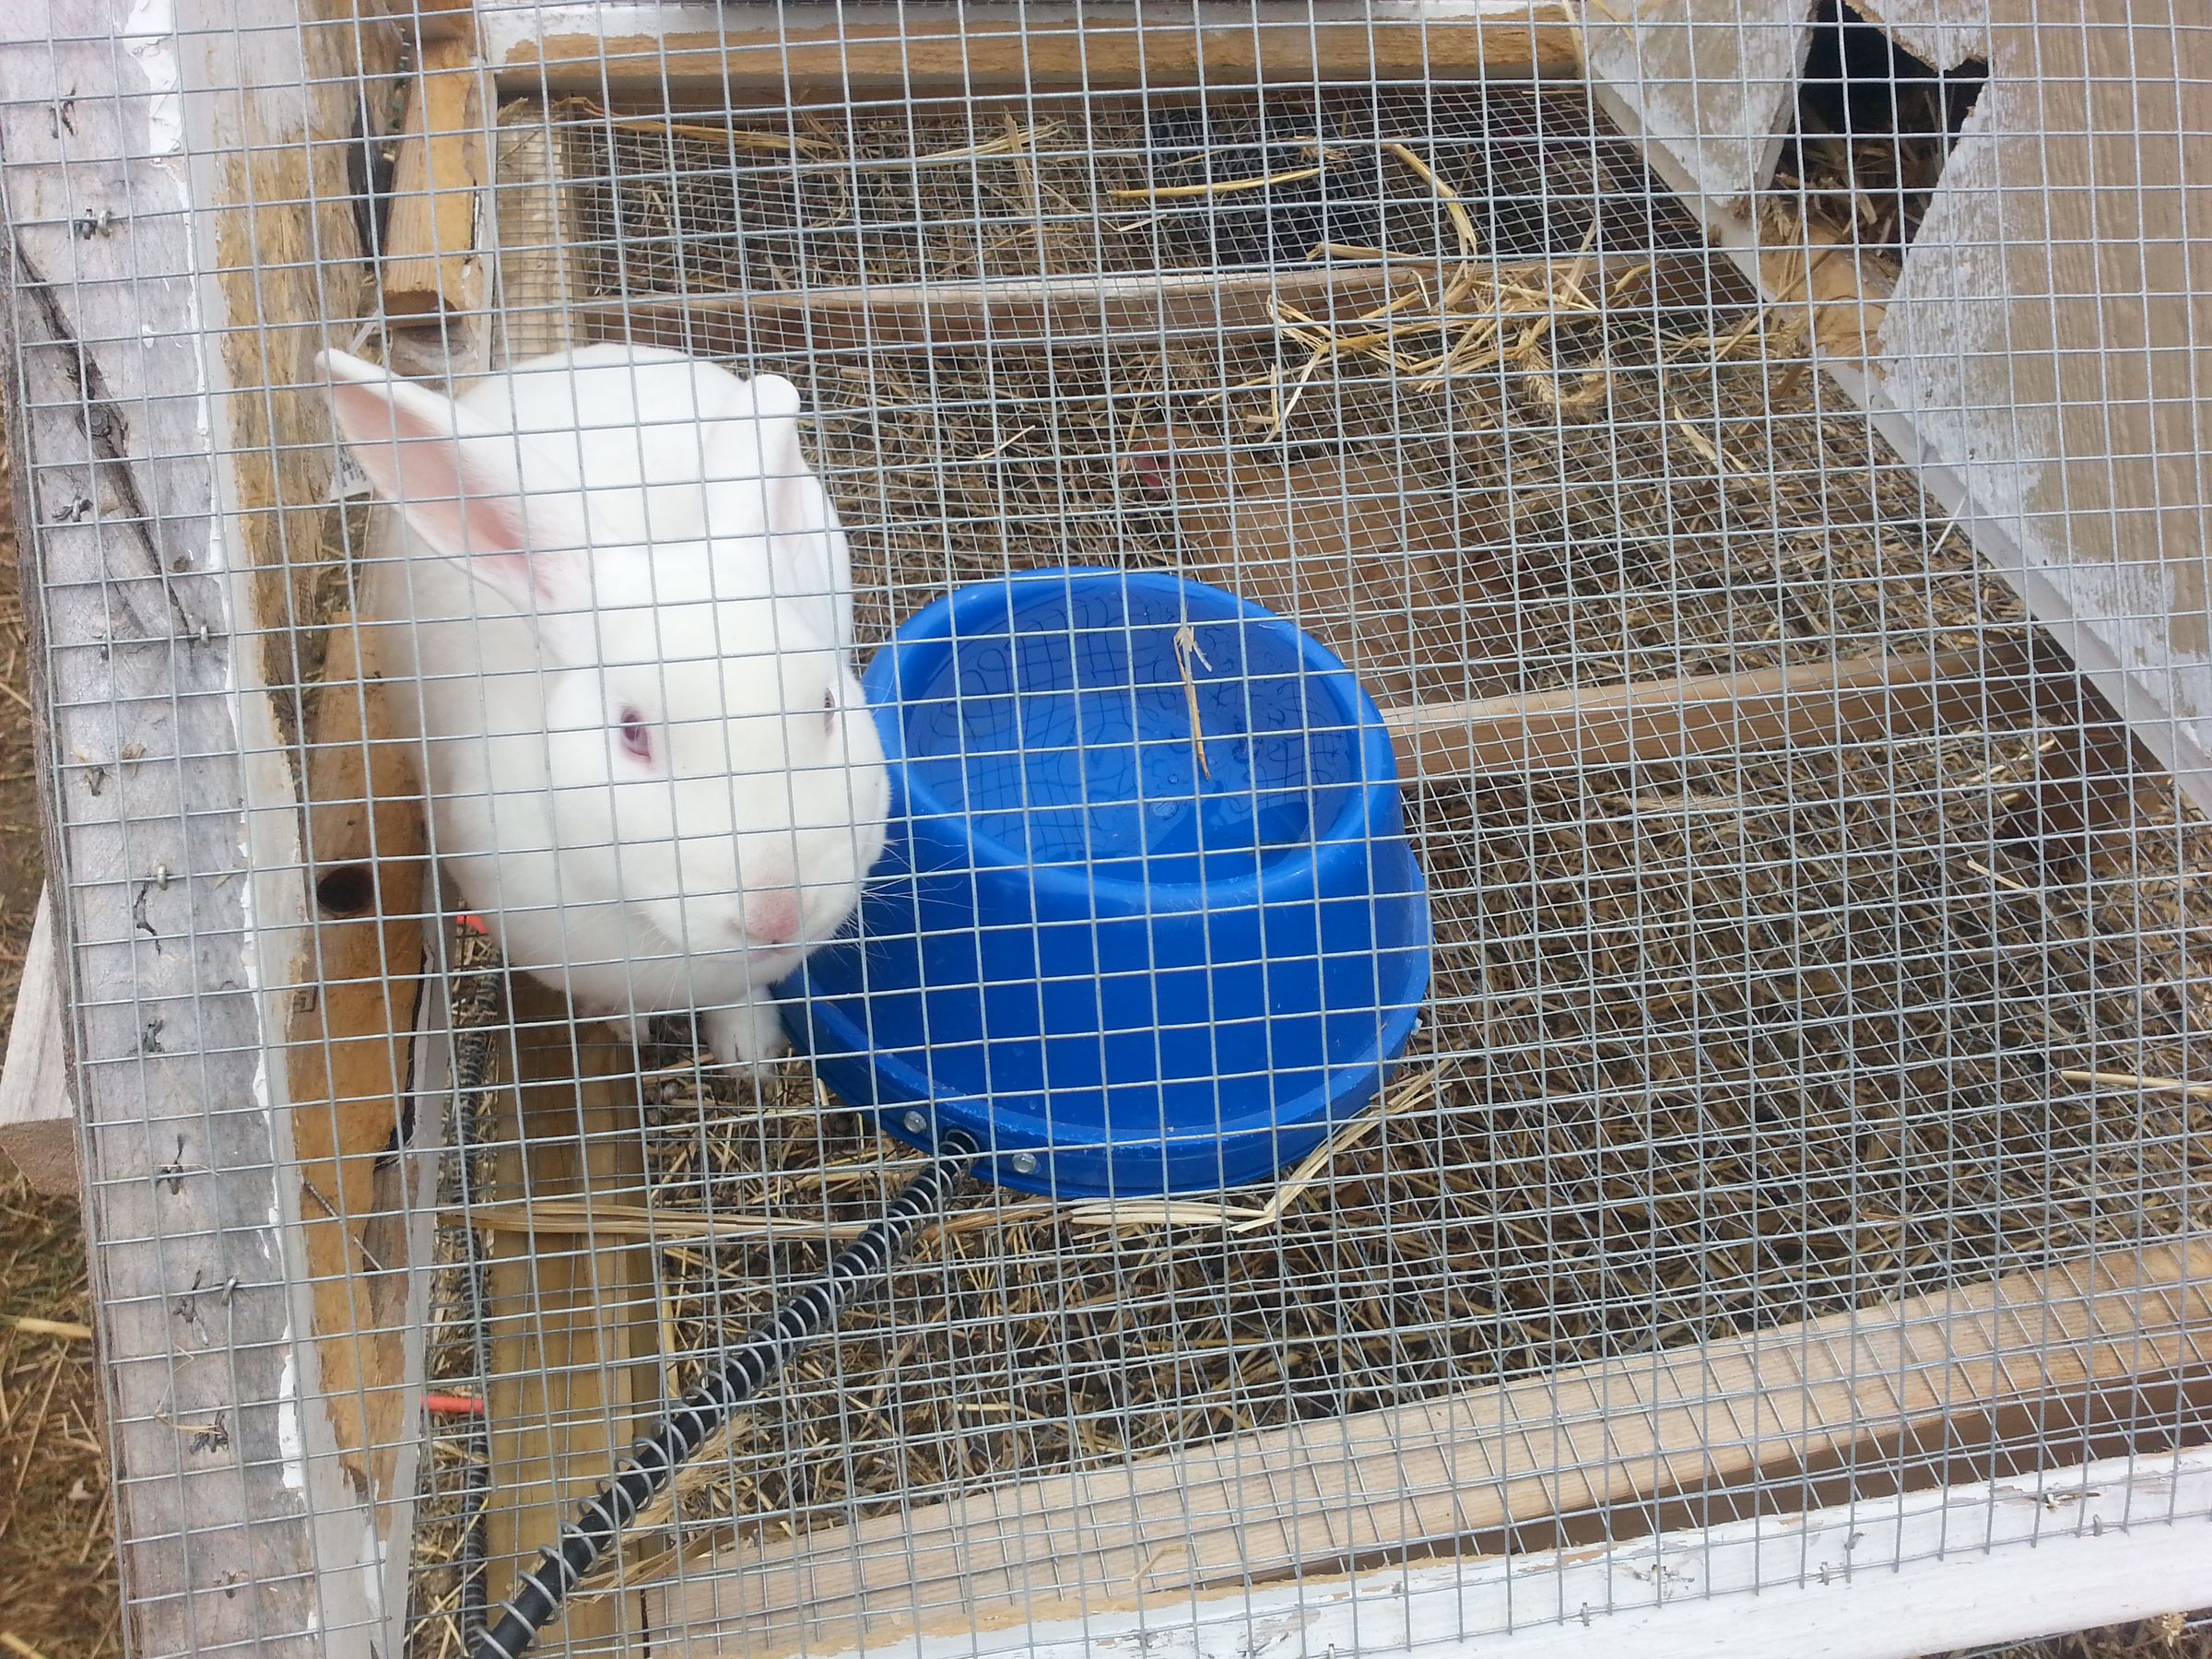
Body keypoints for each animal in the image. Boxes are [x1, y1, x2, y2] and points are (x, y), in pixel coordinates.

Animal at [320, 343, 890, 1072]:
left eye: (825, 706)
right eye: (632, 733)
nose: (777, 915)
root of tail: (588, 354)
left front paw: (749, 1053)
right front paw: (627, 1025)